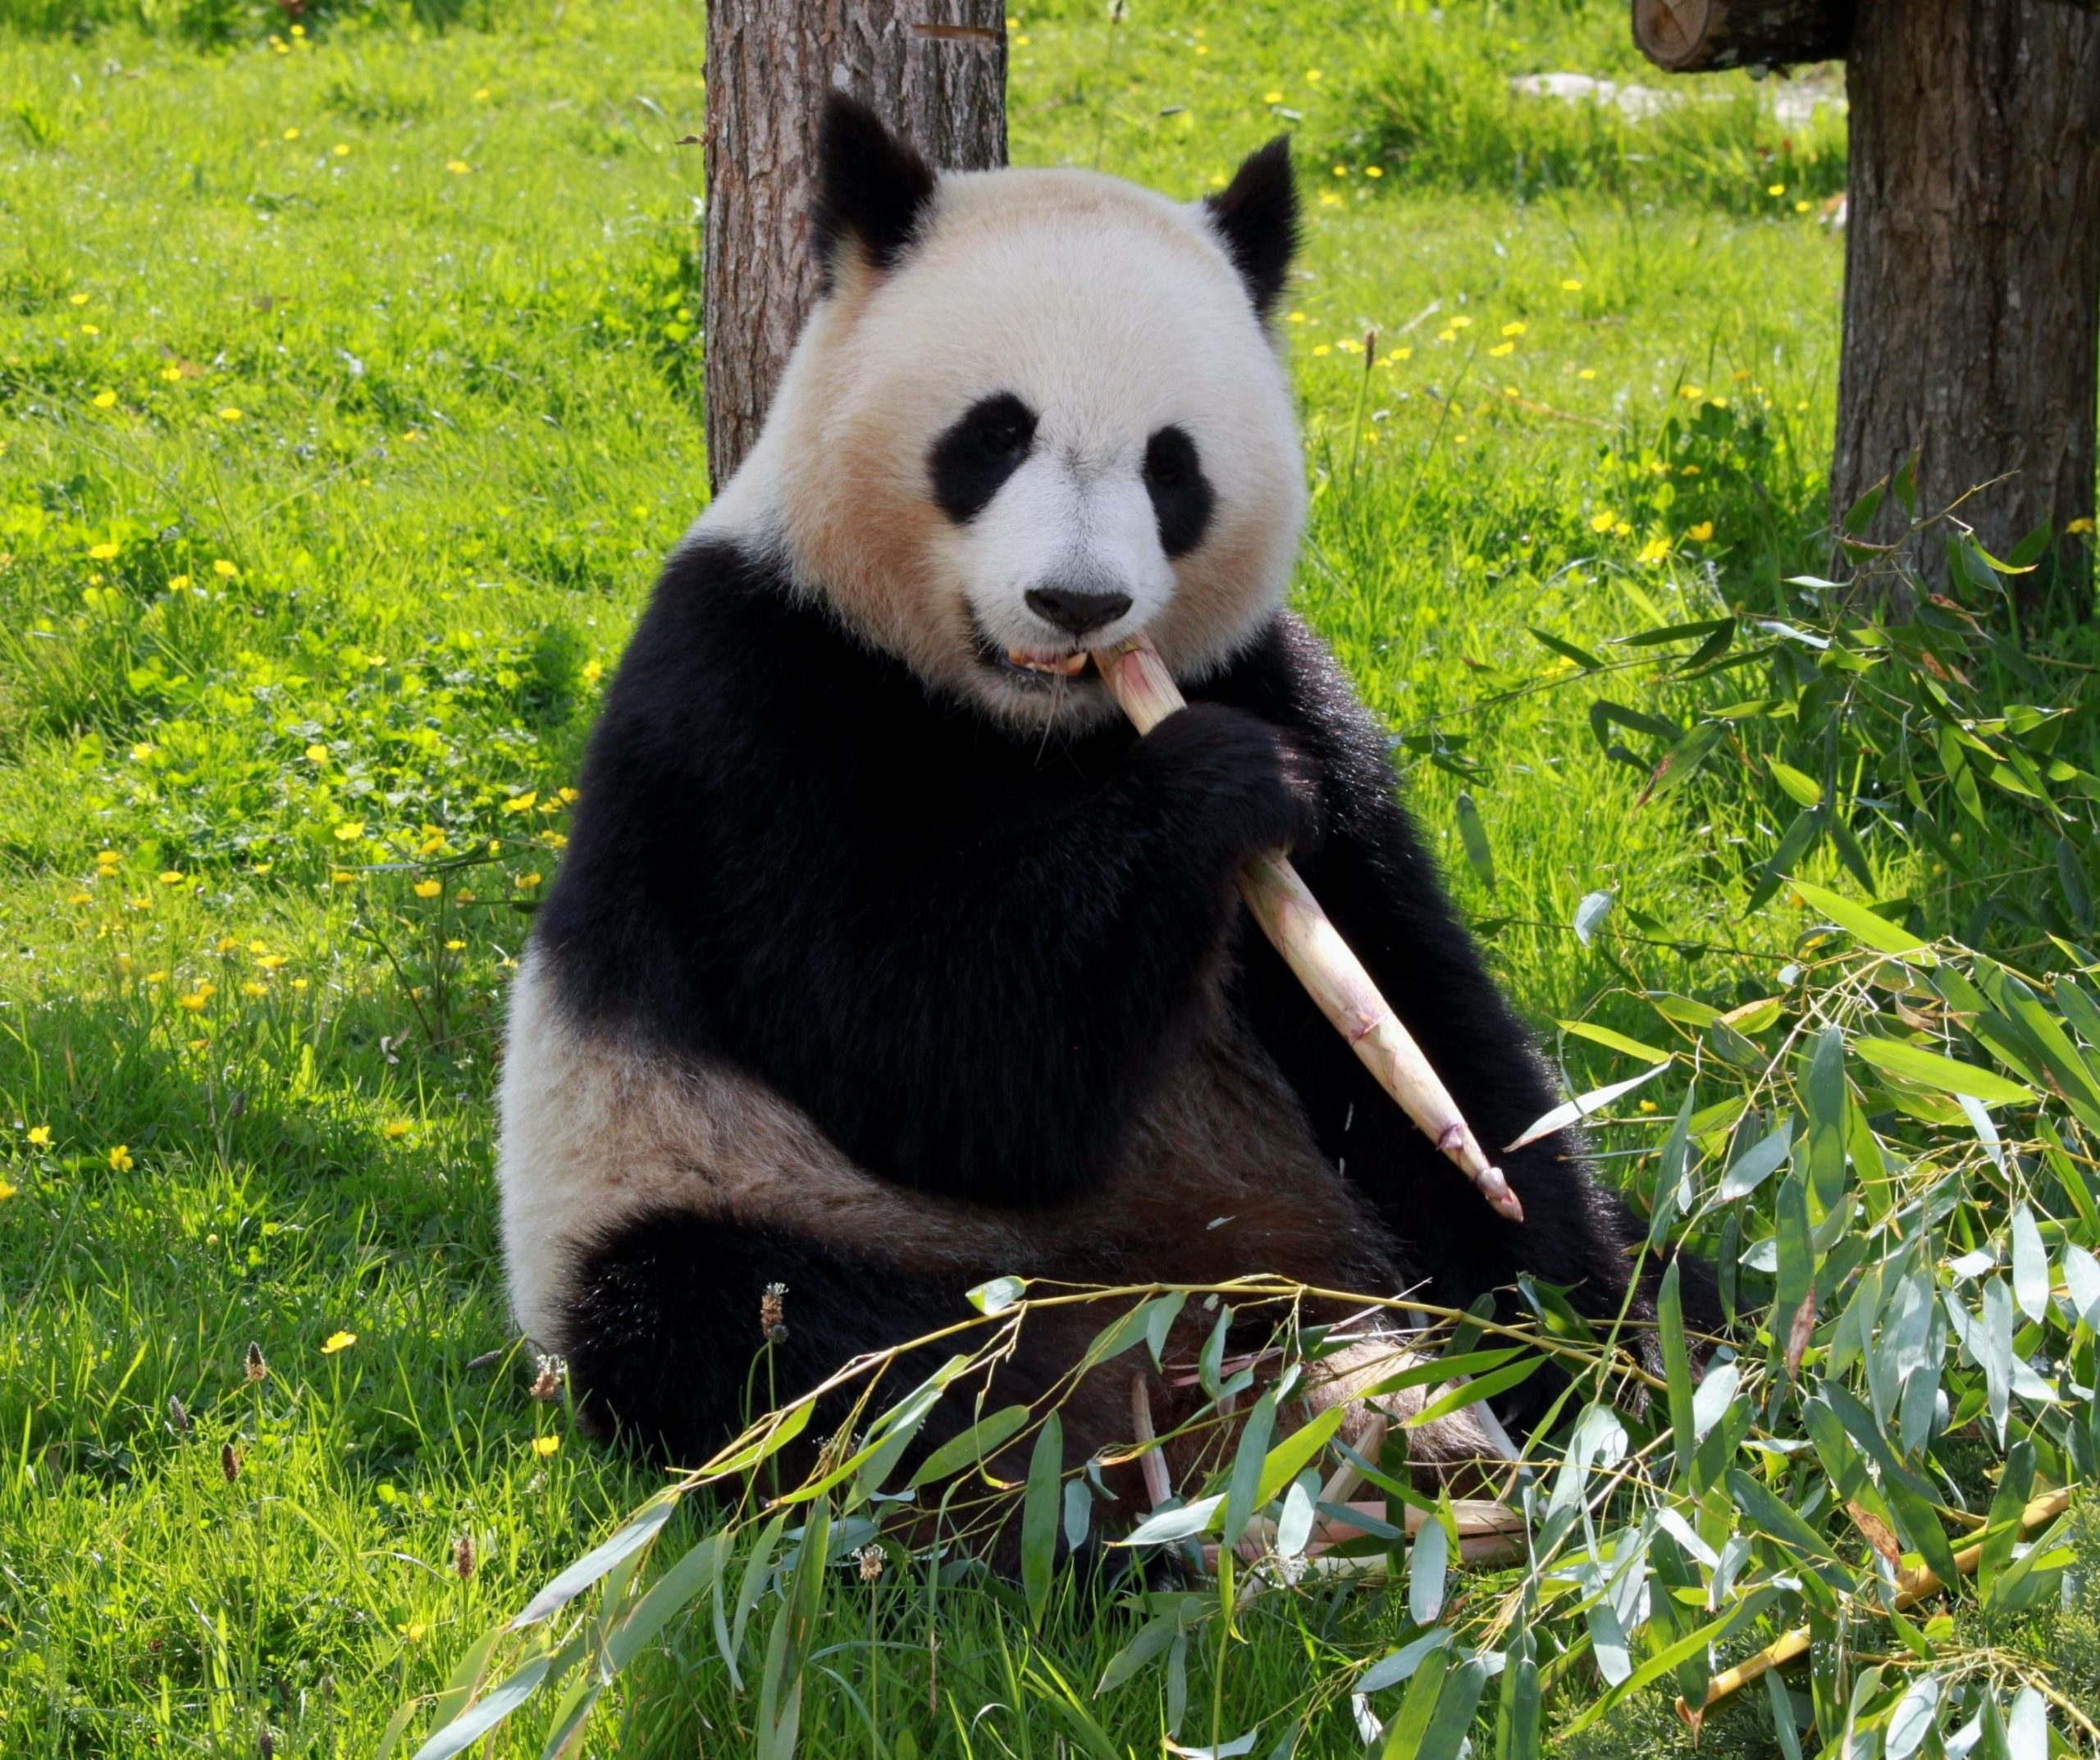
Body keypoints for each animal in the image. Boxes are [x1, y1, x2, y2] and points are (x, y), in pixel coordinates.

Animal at [499, 96, 1709, 1495]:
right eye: (994, 434)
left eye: (1171, 466)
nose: (1077, 602)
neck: (1037, 726)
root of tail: (1224, 1290)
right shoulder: (752, 695)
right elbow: (935, 1058)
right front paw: (1214, 788)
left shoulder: (1273, 677)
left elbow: (1423, 1027)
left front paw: (1586, 1337)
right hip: (719, 1193)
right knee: (798, 1353)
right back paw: (1131, 1461)